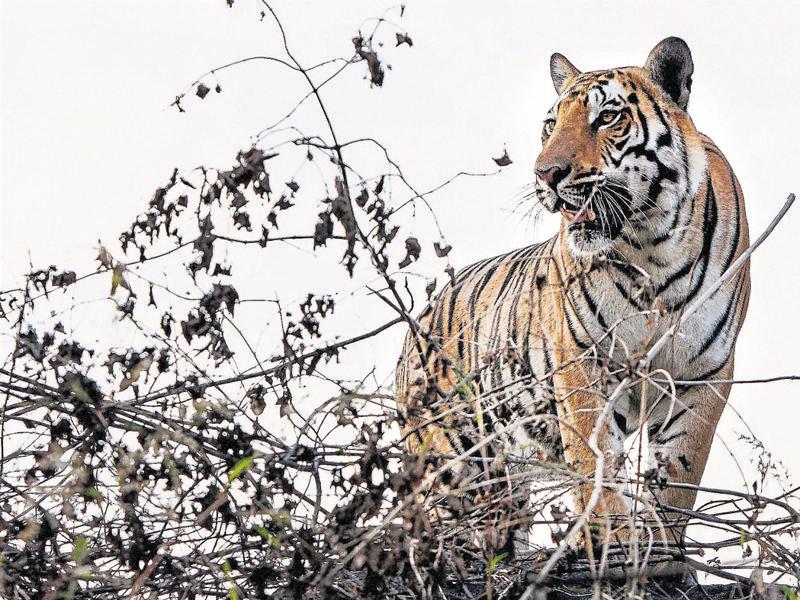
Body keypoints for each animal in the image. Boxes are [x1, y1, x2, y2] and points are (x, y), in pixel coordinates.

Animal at [395, 37, 750, 554]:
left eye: (606, 118)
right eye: (550, 124)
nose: (546, 173)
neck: (654, 248)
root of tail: (416, 325)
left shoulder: (703, 377)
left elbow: (679, 476)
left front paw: (662, 547)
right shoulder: (581, 365)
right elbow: (595, 466)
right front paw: (613, 545)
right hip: (453, 471)